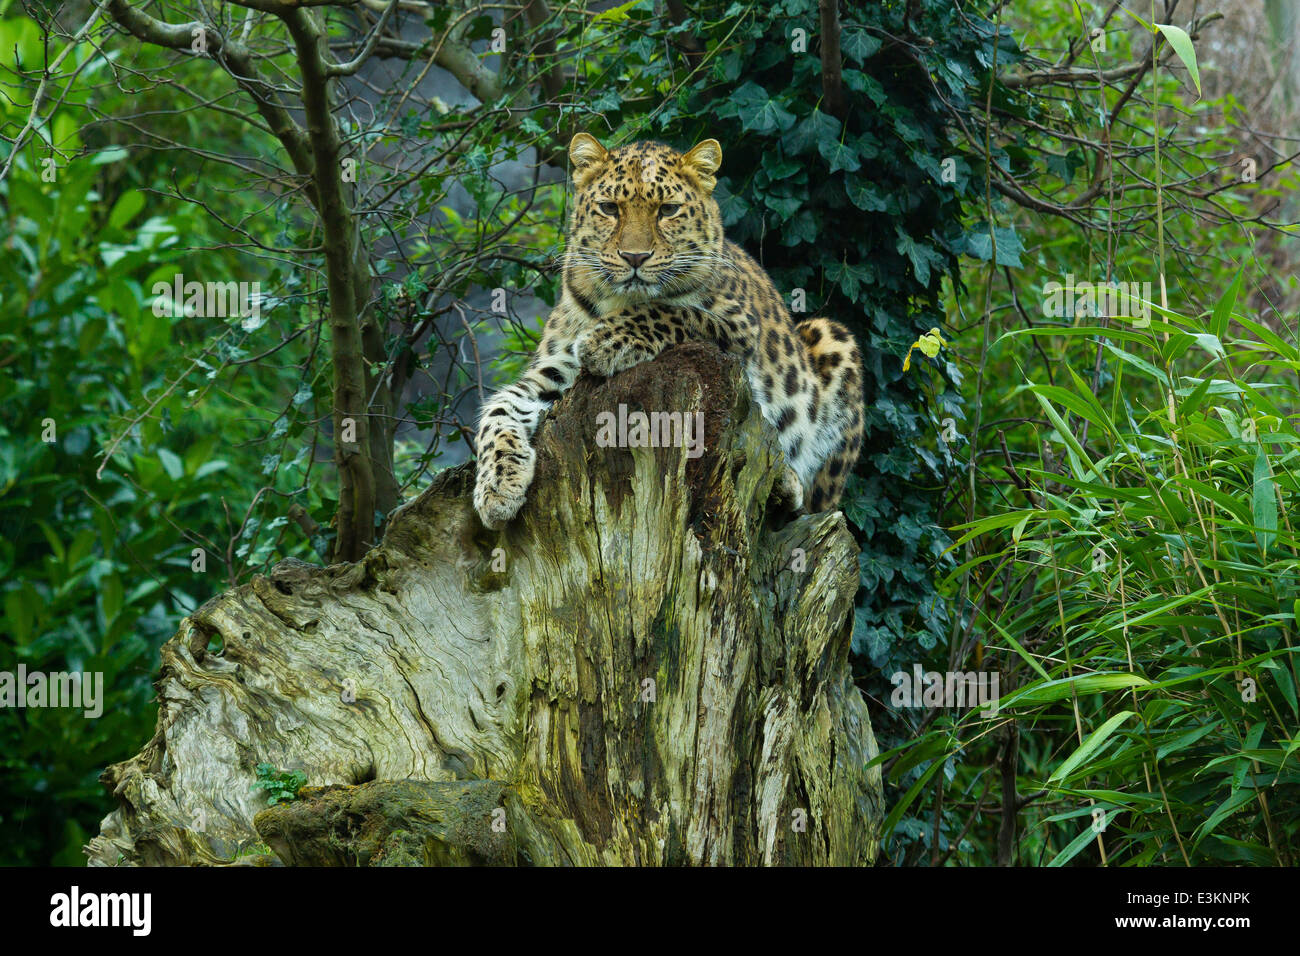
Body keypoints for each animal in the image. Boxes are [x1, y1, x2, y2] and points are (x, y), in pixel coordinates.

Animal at [472, 132, 863, 530]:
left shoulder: (740, 326)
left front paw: (606, 341)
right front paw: (496, 488)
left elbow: (671, 311)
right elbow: (498, 411)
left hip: (832, 337)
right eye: (610, 208)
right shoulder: (553, 370)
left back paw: (789, 480)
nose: (634, 257)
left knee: (813, 501)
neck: (619, 300)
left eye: (668, 210)